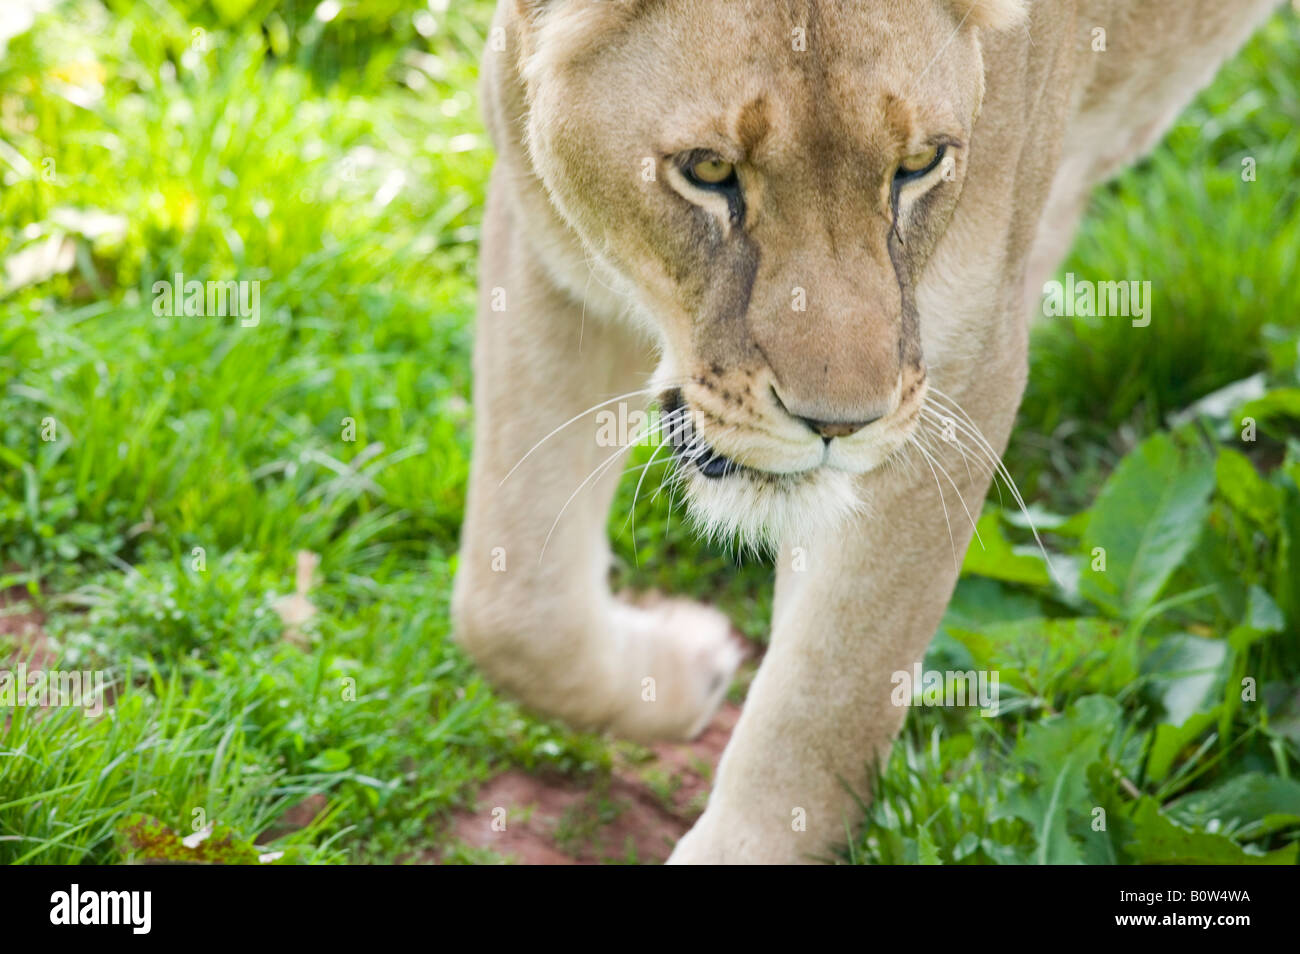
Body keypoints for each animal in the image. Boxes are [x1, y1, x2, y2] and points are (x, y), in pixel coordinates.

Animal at [452, 0, 1282, 863]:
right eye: (708, 171)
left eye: (918, 164)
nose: (840, 423)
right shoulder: (545, 243)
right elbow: (512, 609)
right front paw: (686, 673)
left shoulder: (959, 376)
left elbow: (828, 694)